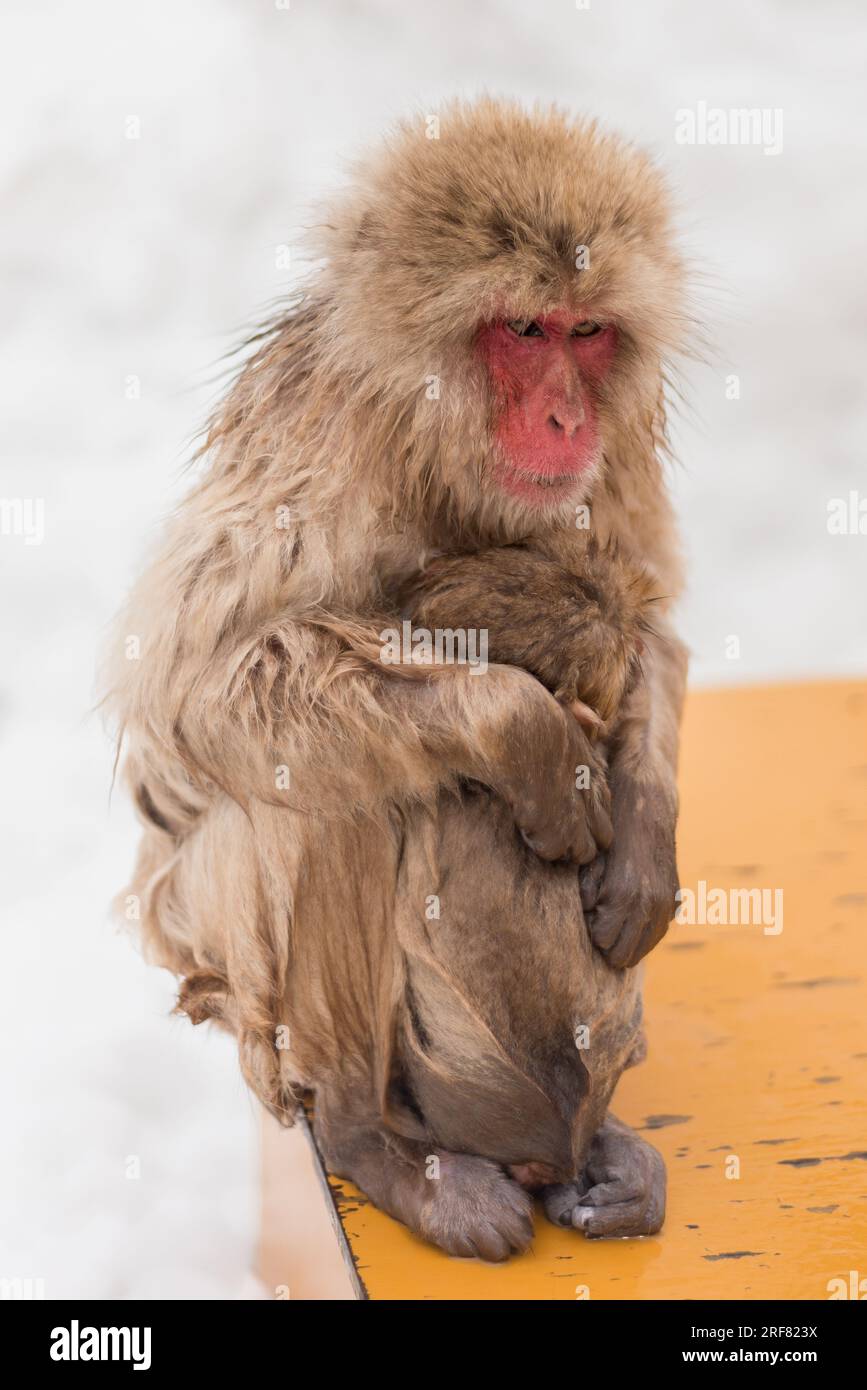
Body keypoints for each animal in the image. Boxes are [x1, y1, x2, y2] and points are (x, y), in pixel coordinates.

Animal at [105, 98, 689, 1261]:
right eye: (524, 331)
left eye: (587, 333)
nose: (567, 420)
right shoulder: (329, 445)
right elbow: (196, 693)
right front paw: (525, 736)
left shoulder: (615, 458)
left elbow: (654, 622)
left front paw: (644, 829)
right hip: (226, 970)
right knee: (324, 791)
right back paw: (371, 1142)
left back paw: (609, 1156)